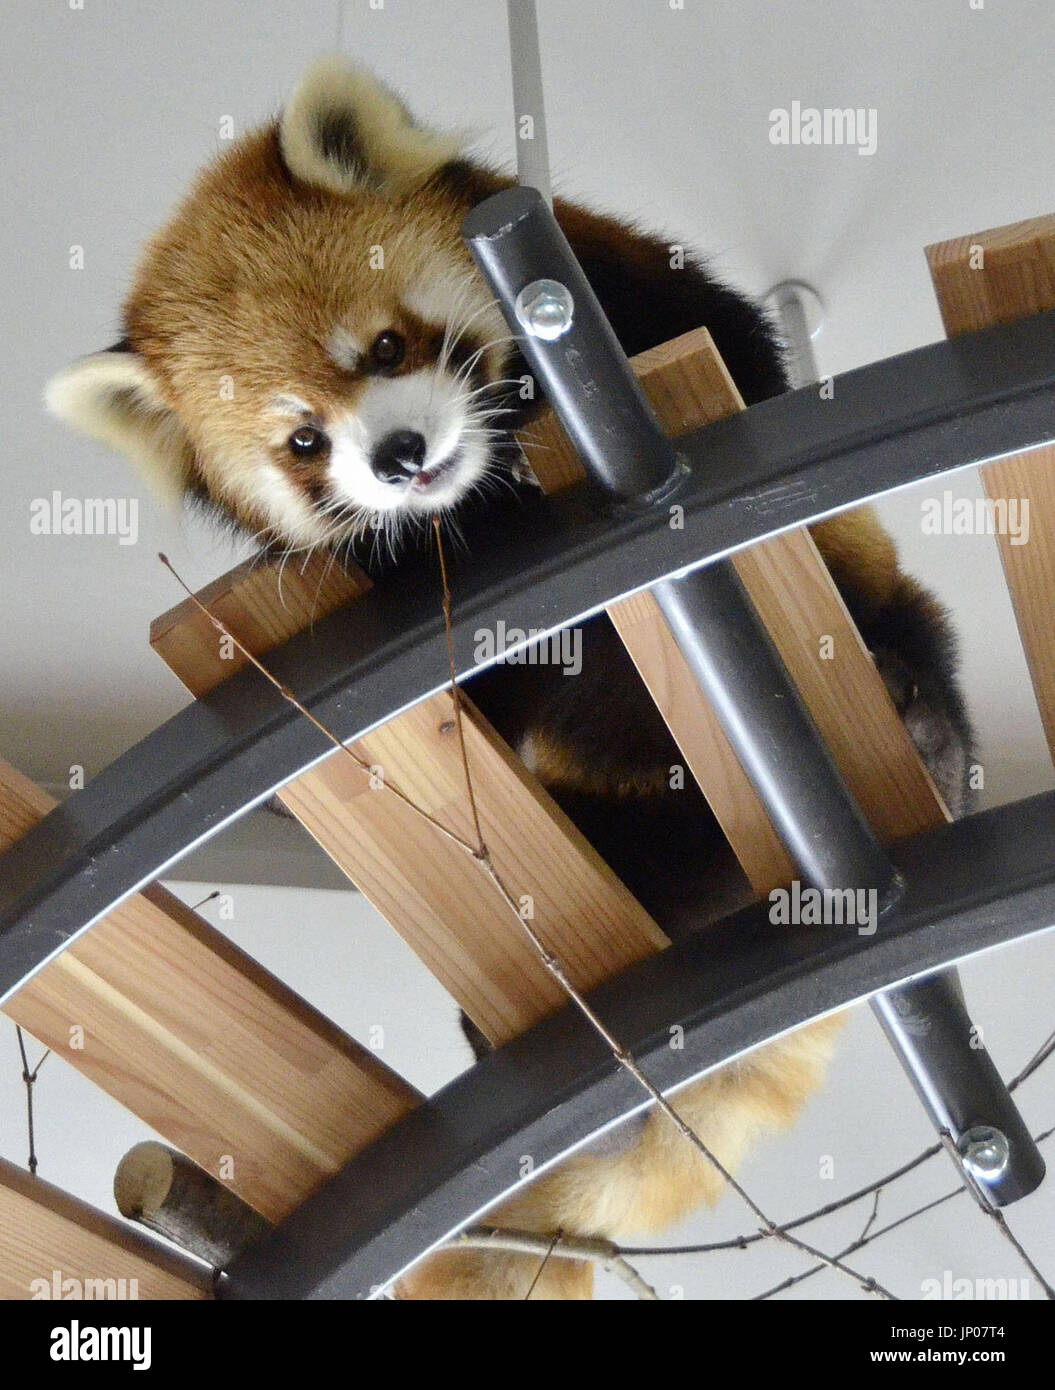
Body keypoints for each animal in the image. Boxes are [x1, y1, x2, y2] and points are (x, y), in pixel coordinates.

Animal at [45, 57, 974, 1298]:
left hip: (863, 613)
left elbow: (734, 348)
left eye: (387, 349)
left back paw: (924, 730)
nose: (397, 457)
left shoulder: (634, 294)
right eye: (302, 442)